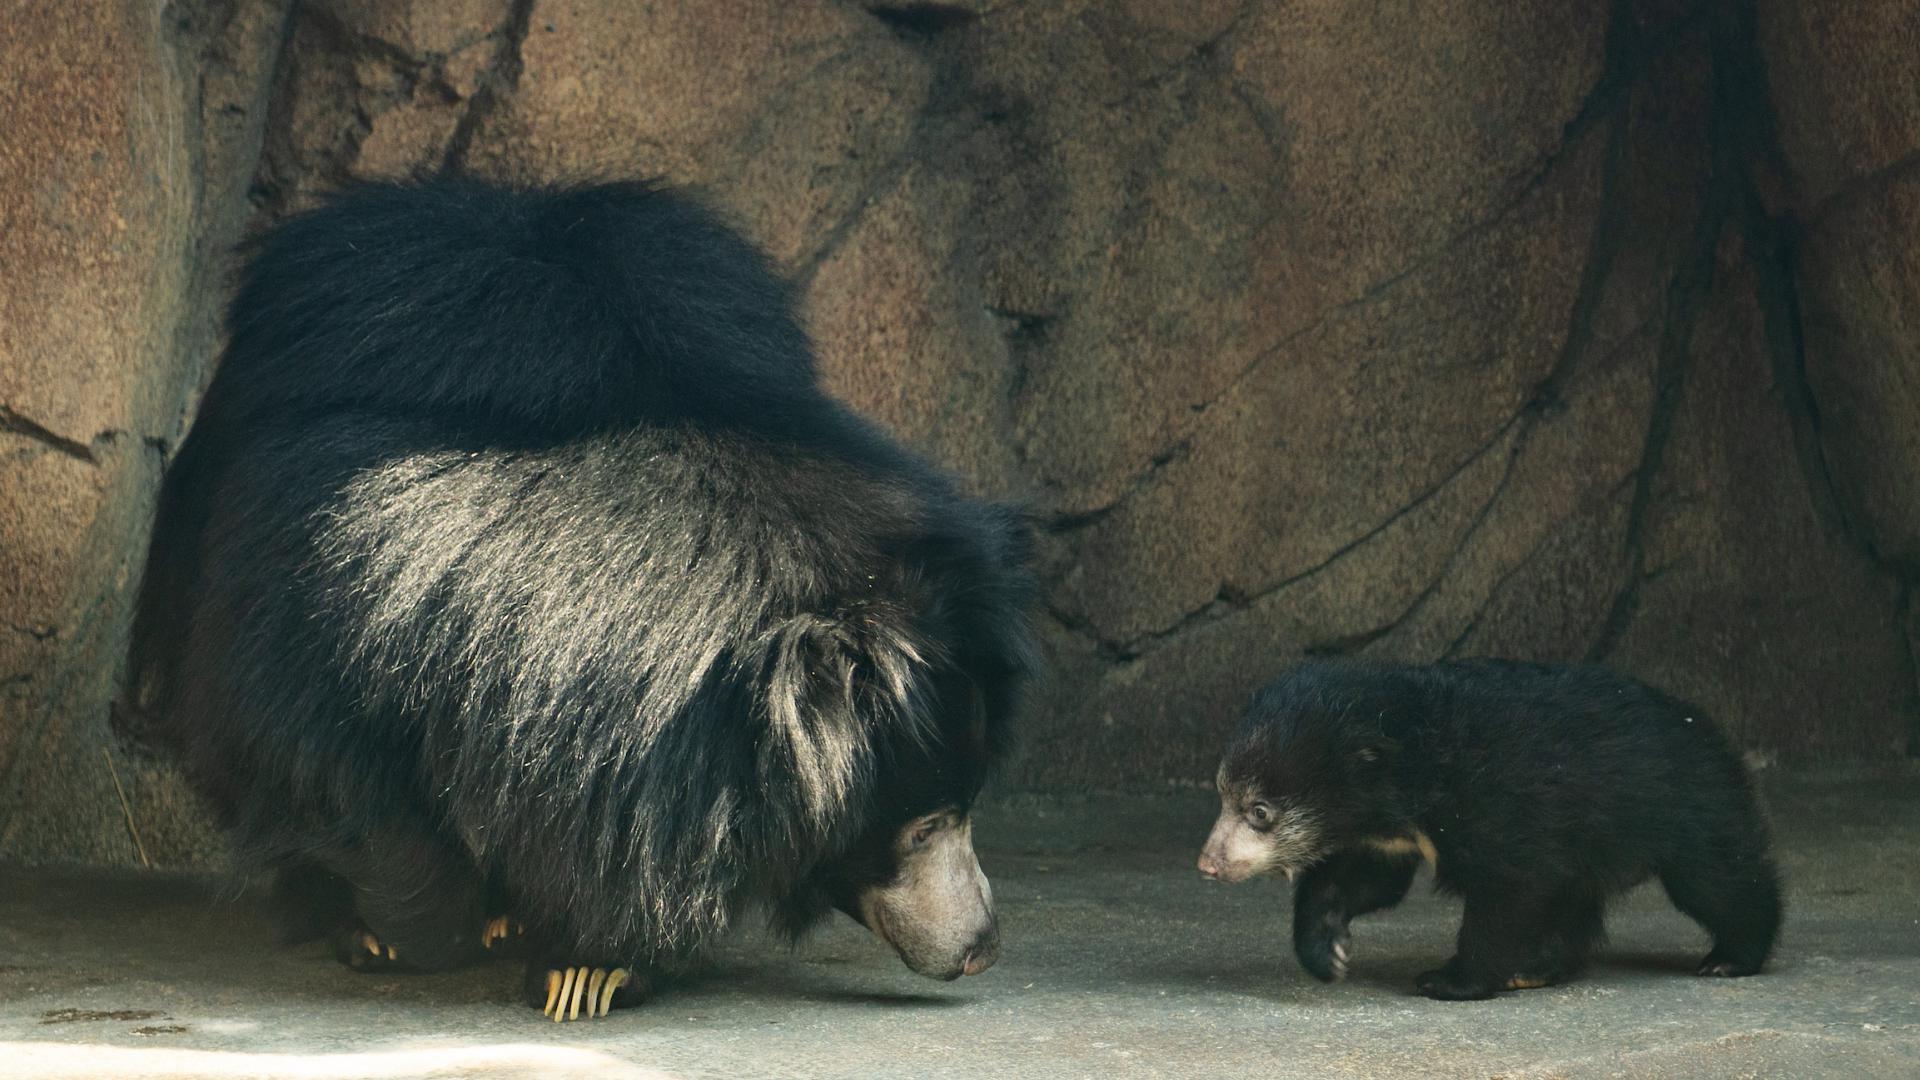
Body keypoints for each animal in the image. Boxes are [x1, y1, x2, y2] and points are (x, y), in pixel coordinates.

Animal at [125, 175, 1037, 1020]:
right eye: (922, 826)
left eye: (966, 806)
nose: (983, 946)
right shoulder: (333, 591)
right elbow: (325, 754)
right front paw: (402, 930)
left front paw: (590, 966)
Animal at [1196, 659, 1781, 1000]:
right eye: (1223, 794)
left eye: (1259, 811)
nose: (1208, 864)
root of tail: (1701, 720)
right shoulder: (1385, 832)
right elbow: (1362, 881)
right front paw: (1329, 953)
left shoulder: (1502, 802)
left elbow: (1511, 888)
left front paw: (1449, 980)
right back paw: (1540, 967)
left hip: (1686, 798)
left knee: (1716, 877)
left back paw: (1729, 958)